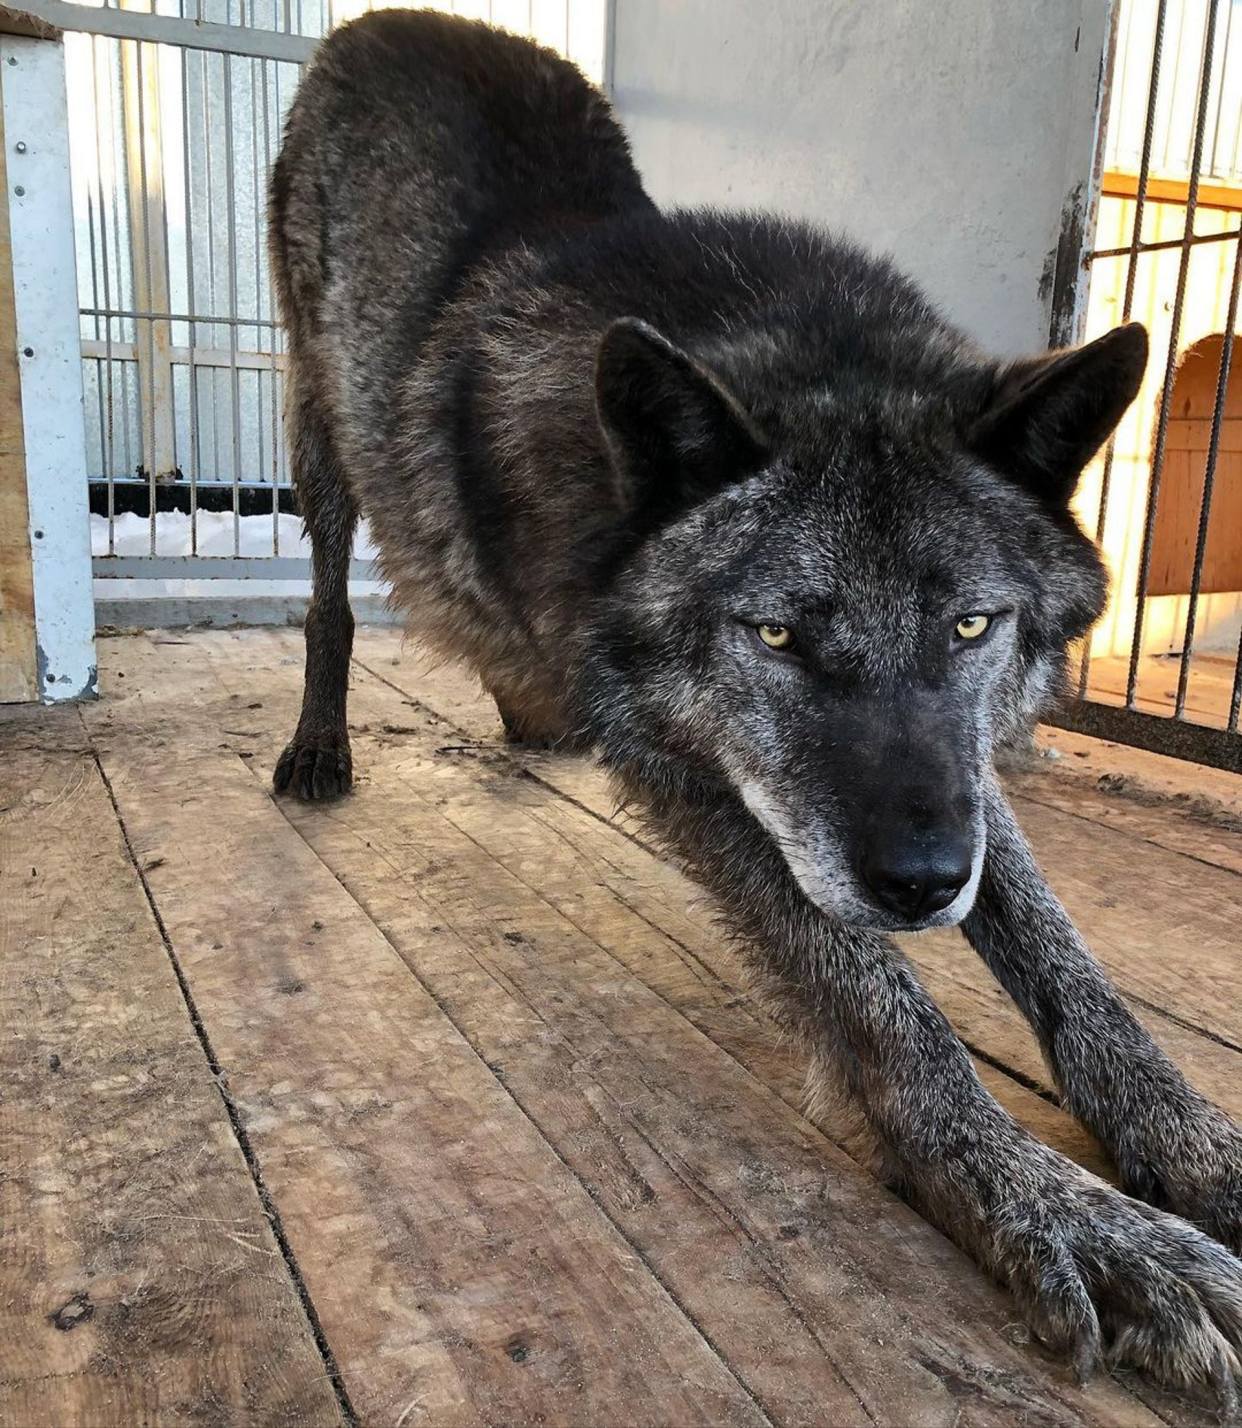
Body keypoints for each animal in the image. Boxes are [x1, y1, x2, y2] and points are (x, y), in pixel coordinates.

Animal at [269, 9, 1242, 1402]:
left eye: (972, 626)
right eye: (777, 635)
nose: (920, 887)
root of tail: (398, 22)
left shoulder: (956, 790)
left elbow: (1064, 958)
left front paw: (1189, 1143)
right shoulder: (688, 770)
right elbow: (883, 1005)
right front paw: (1062, 1213)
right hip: (319, 424)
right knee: (330, 594)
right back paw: (319, 743)